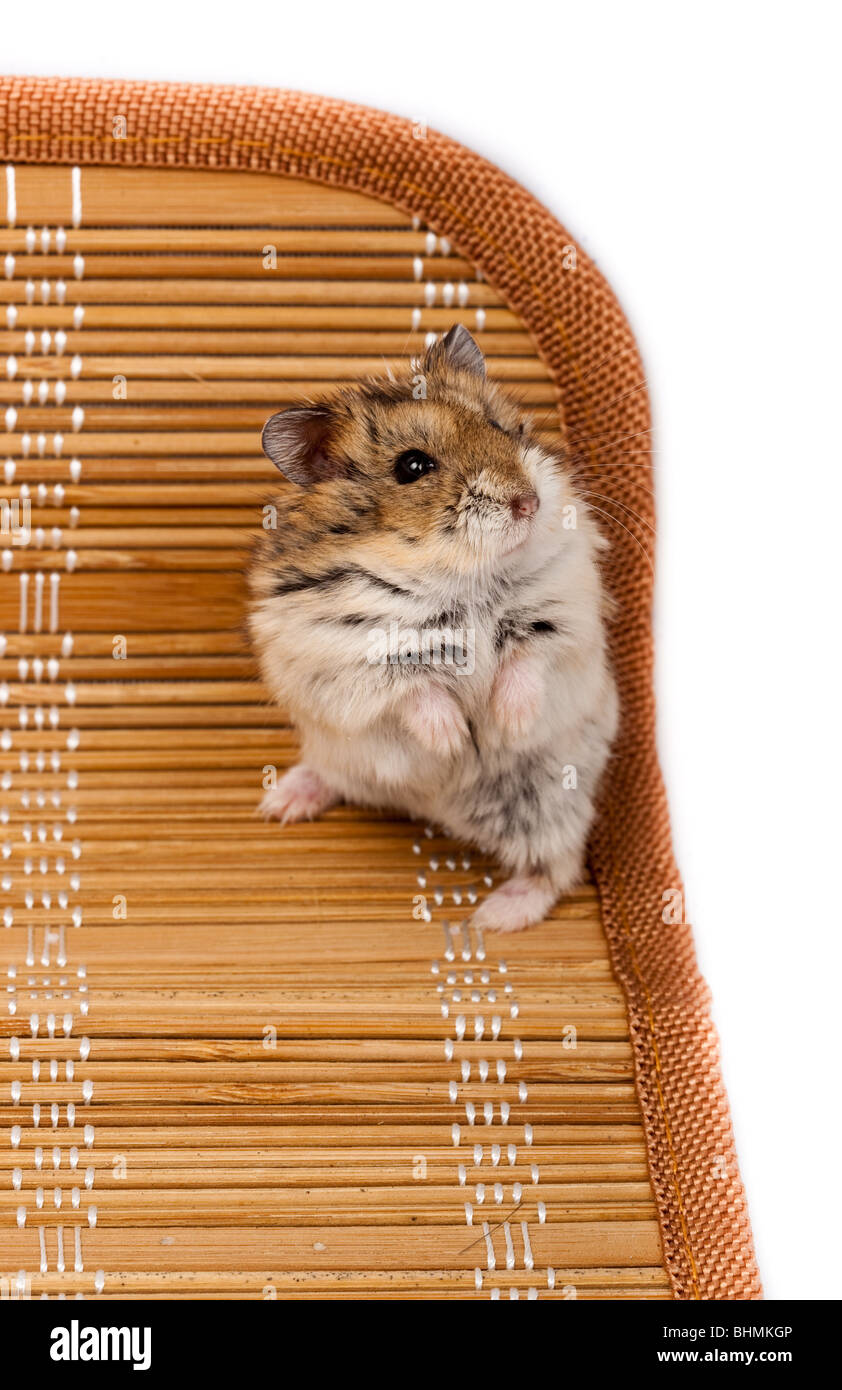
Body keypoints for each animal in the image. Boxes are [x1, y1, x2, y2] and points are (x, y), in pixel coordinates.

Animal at [247, 324, 618, 932]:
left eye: (500, 428)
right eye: (413, 466)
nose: (529, 503)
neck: (459, 573)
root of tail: (432, 807)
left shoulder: (561, 612)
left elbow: (525, 659)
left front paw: (506, 724)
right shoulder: (350, 648)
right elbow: (416, 687)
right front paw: (454, 741)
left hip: (548, 801)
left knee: (555, 868)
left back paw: (492, 917)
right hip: (336, 750)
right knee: (333, 776)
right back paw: (280, 804)